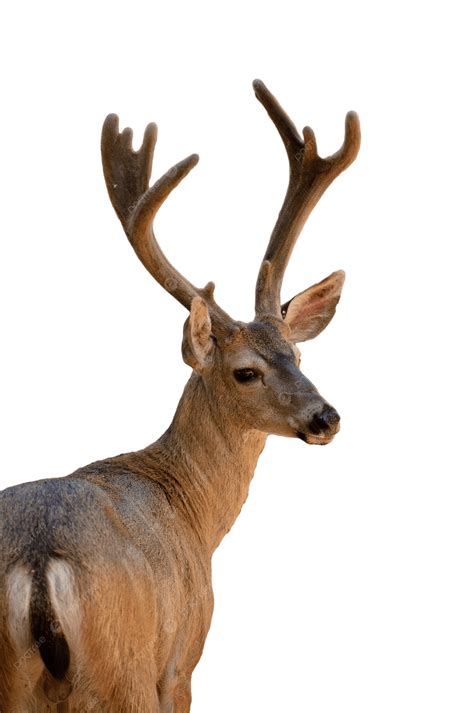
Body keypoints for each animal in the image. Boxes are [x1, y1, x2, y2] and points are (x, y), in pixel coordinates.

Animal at [0, 79, 360, 712]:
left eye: (298, 356)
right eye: (245, 372)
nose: (326, 417)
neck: (198, 516)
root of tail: (38, 563)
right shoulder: (183, 660)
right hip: (122, 667)